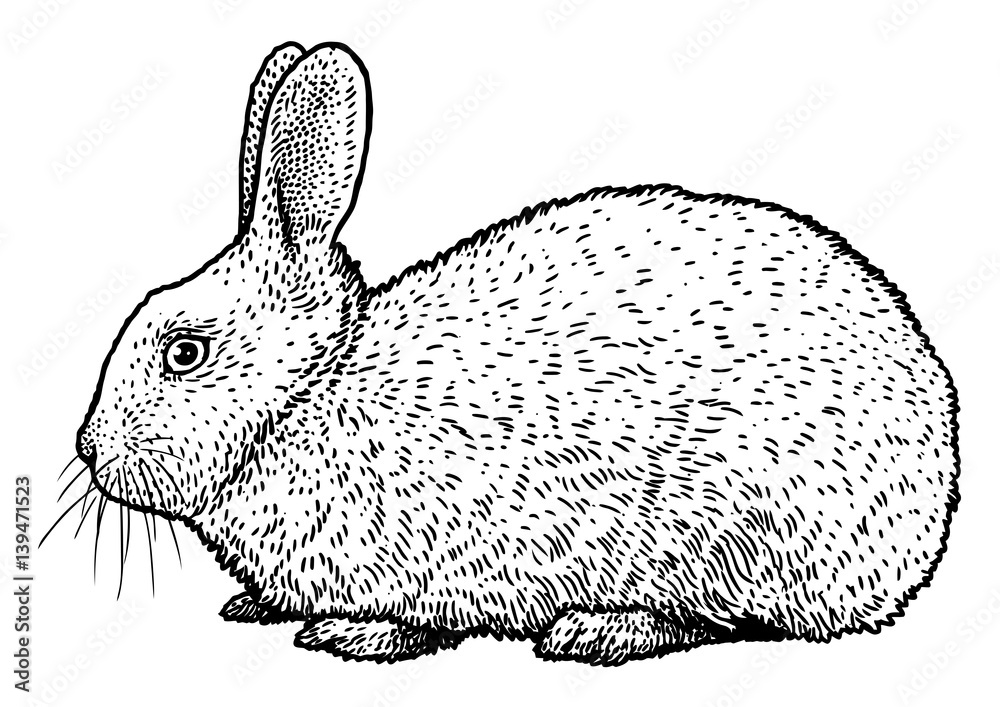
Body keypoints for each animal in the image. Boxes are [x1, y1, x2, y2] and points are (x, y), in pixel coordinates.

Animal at [71, 41, 959, 666]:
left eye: (185, 353)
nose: (86, 448)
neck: (304, 397)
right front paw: (255, 605)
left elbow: (414, 624)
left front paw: (350, 637)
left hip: (738, 537)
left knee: (718, 622)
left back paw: (600, 630)